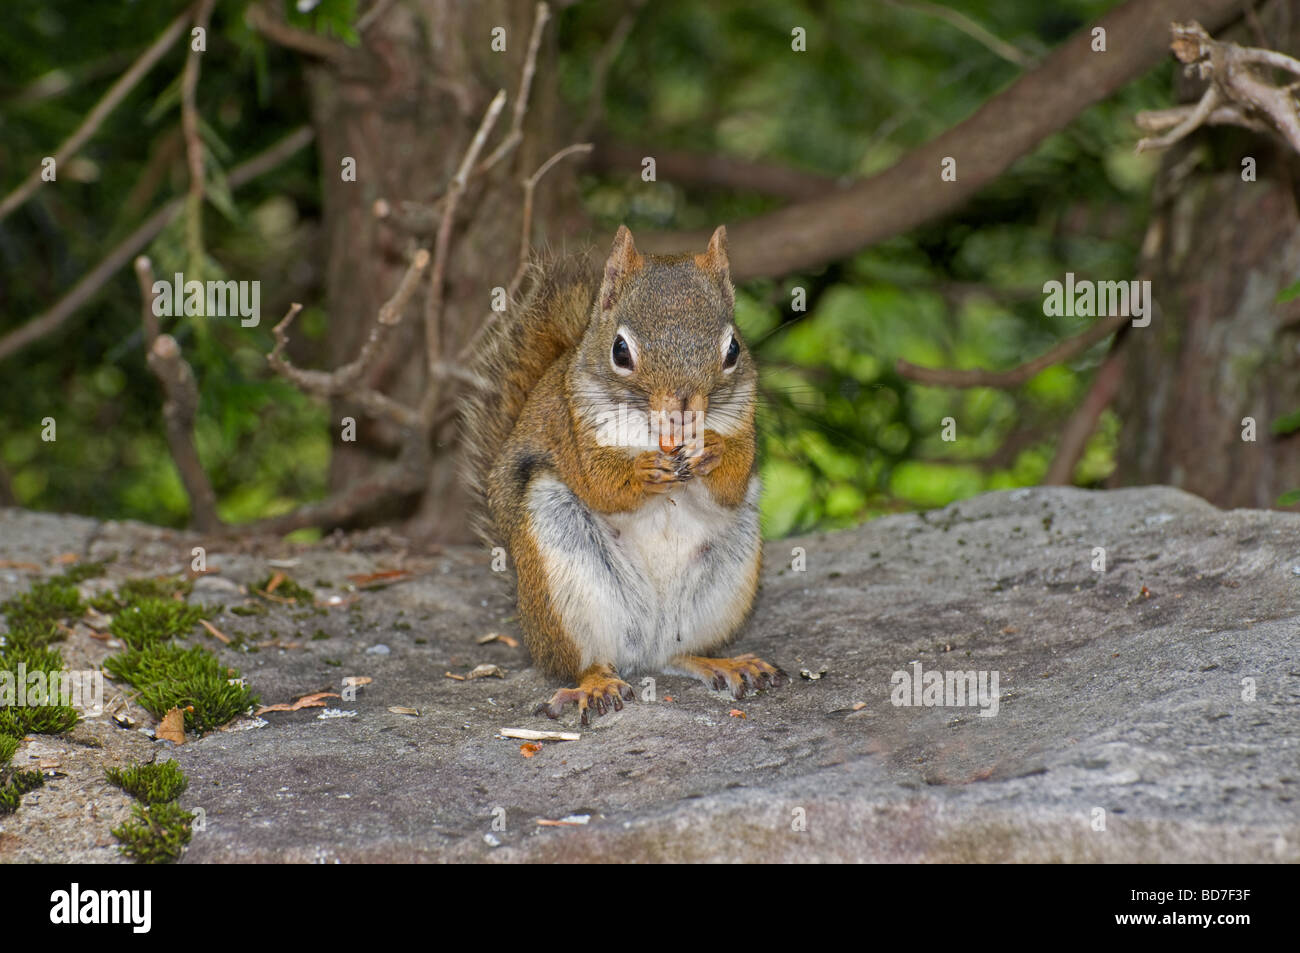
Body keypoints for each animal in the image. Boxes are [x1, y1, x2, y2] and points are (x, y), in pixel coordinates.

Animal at [461, 224, 788, 723]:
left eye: (733, 349)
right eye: (620, 351)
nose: (682, 411)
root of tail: (646, 647)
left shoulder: (743, 426)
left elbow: (731, 484)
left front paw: (710, 448)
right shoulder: (573, 431)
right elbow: (603, 486)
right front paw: (643, 470)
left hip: (726, 580)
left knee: (679, 652)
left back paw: (725, 663)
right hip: (564, 572)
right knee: (588, 659)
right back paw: (595, 684)